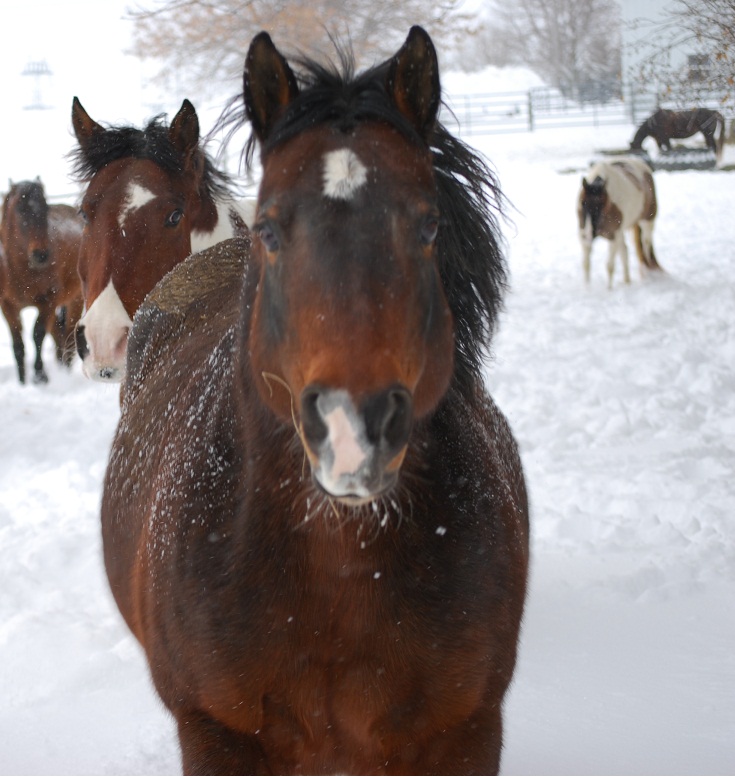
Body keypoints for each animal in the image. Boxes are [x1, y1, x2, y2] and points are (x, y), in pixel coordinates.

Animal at [0, 179, 83, 383]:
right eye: (20, 209)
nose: (41, 254)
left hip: (75, 300)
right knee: (58, 338)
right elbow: (18, 344)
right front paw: (22, 381)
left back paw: (64, 374)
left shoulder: (48, 300)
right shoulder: (7, 306)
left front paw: (40, 376)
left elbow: (37, 334)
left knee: (68, 339)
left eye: (45, 208)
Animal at [101, 27, 529, 775]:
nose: (353, 429)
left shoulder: (465, 734)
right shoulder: (216, 735)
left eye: (428, 226)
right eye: (271, 228)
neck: (338, 568)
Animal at [577, 156, 663, 288]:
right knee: (625, 251)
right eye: (582, 202)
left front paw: (609, 290)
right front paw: (587, 289)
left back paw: (645, 275)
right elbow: (586, 265)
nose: (588, 234)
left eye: (602, 204)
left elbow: (609, 266)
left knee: (646, 246)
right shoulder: (583, 238)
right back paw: (627, 281)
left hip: (647, 222)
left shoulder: (613, 236)